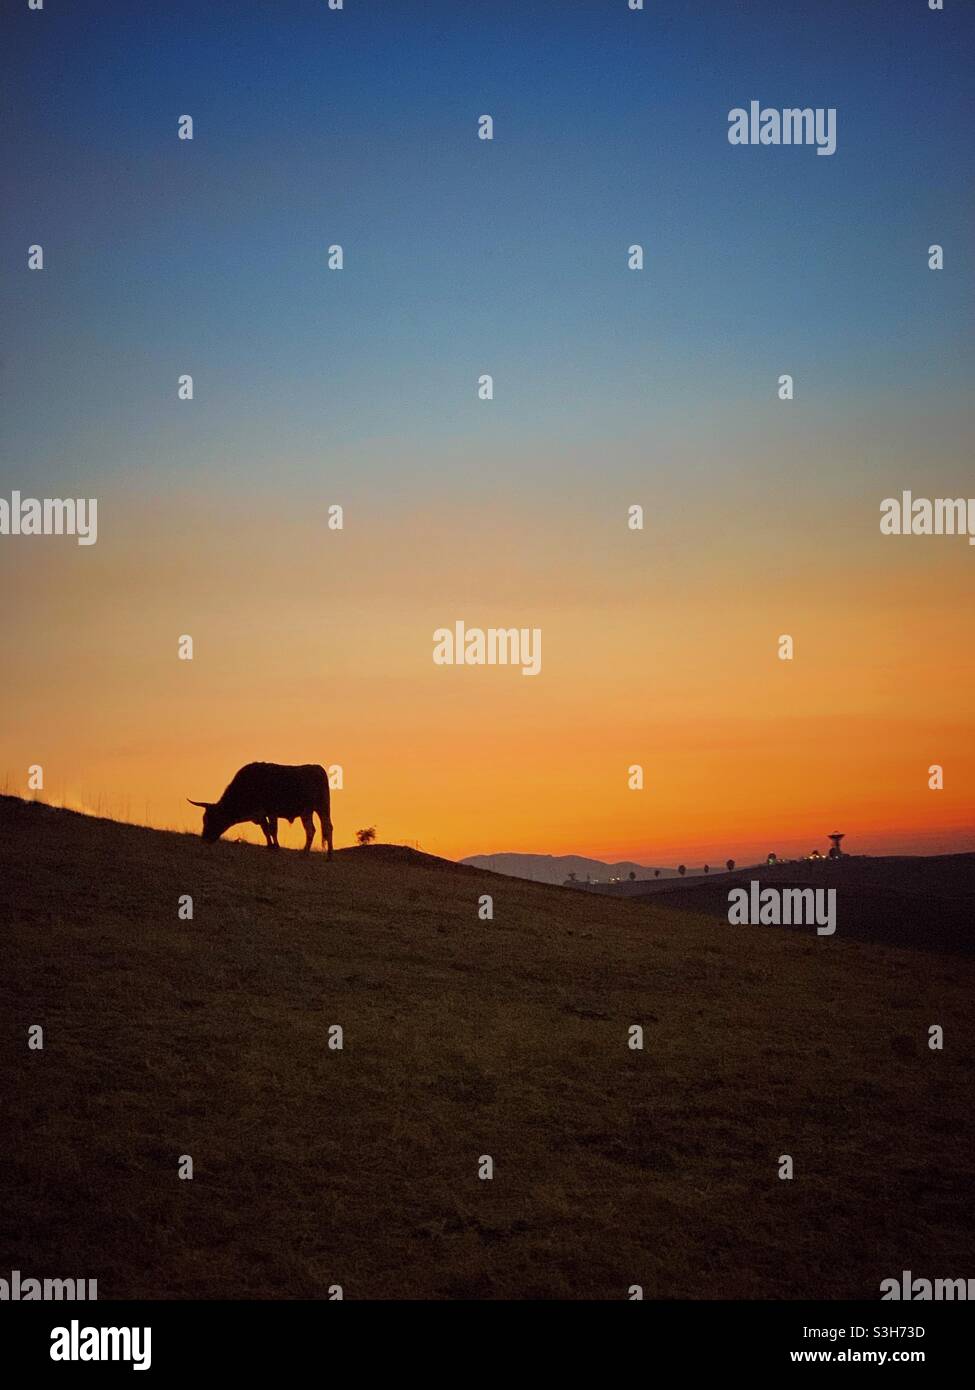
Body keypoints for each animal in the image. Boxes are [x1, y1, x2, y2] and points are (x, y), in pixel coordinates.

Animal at [188, 762, 333, 857]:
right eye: (204, 819)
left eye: (214, 819)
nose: (205, 838)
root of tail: (317, 767)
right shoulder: (261, 815)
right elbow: (266, 830)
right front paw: (270, 846)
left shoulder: (271, 812)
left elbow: (273, 830)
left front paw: (276, 847)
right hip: (306, 812)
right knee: (311, 830)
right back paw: (305, 852)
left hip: (323, 808)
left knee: (327, 827)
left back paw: (330, 855)